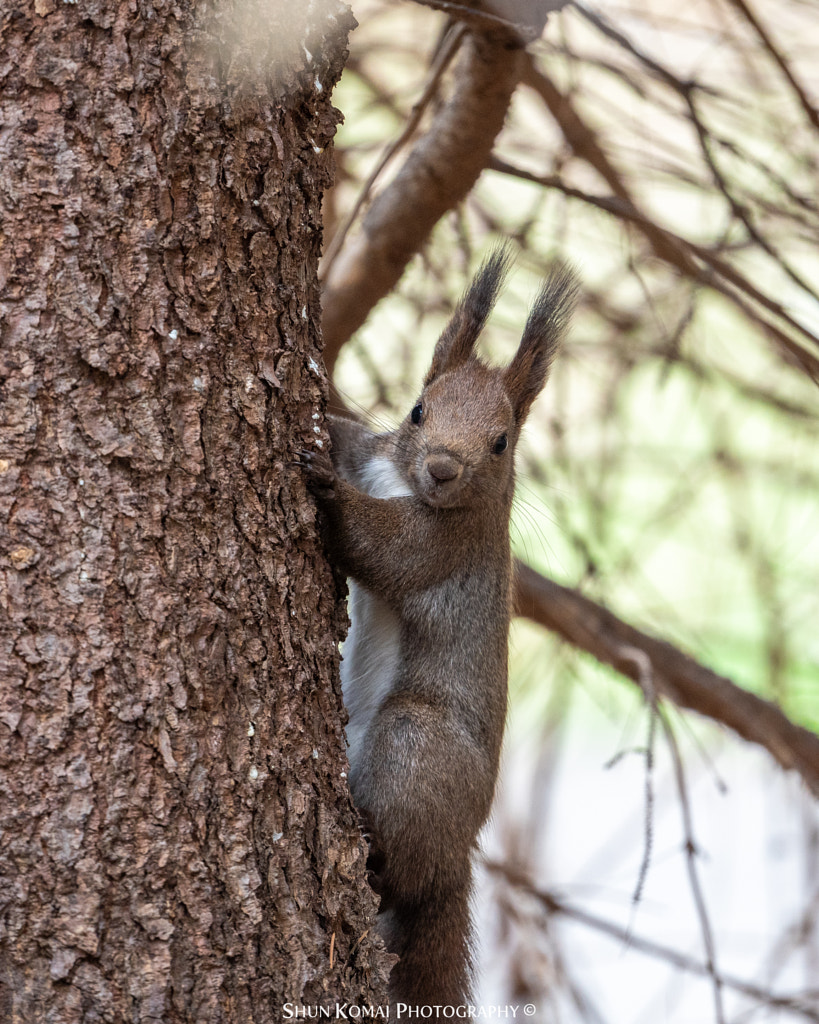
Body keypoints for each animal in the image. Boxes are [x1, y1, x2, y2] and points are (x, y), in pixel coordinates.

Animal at [302, 249, 577, 1008]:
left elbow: (383, 548)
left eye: (501, 441)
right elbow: (344, 435)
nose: (443, 468)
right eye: (418, 408)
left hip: (416, 743)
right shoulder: (370, 450)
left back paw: (374, 854)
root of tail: (458, 858)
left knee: (401, 872)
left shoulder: (442, 548)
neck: (403, 483)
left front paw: (328, 493)